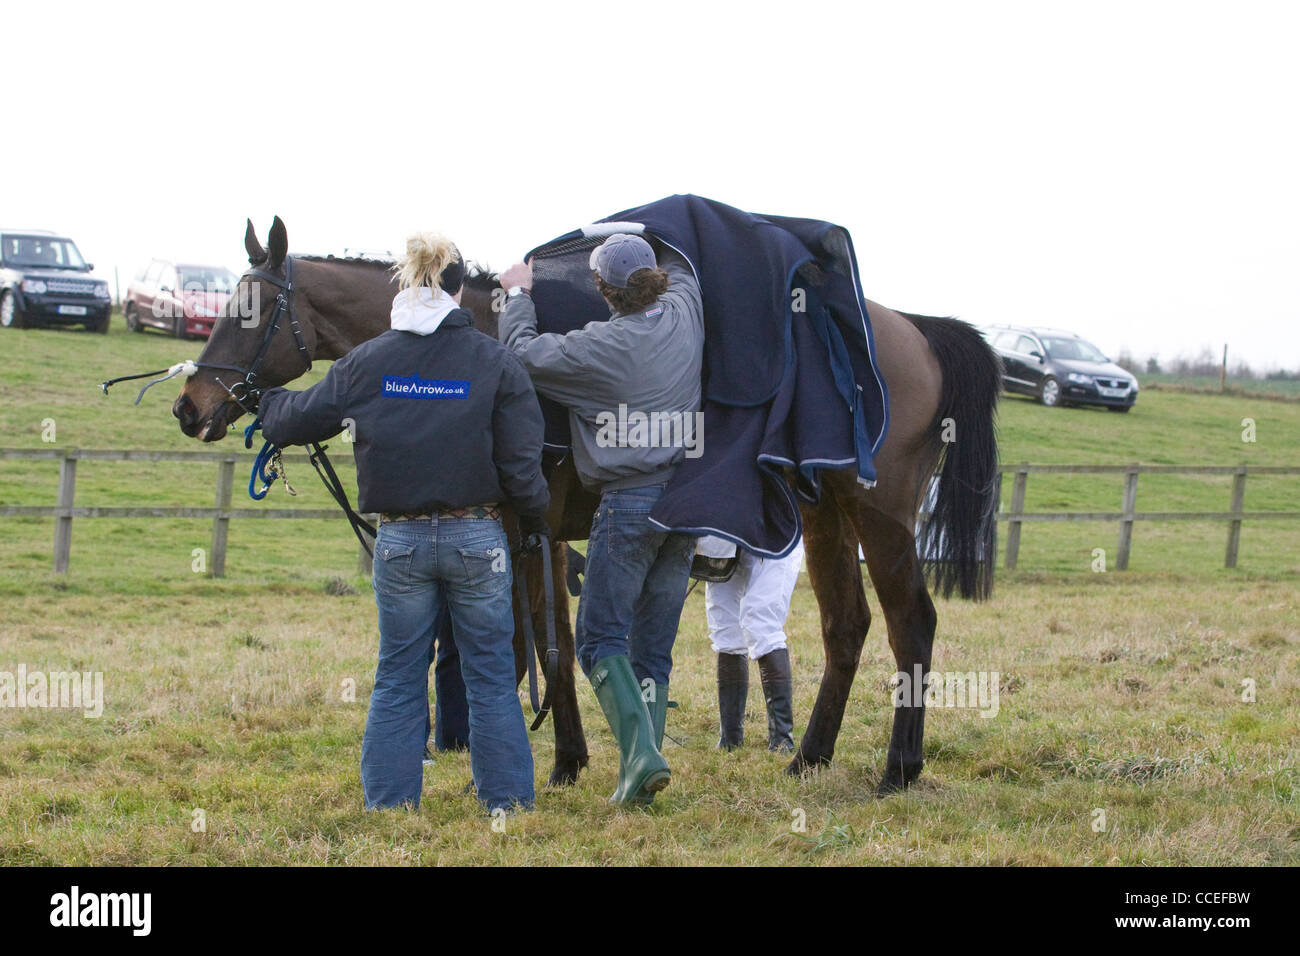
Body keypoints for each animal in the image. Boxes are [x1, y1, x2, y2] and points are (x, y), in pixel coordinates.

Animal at [174, 217, 1000, 794]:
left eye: (251, 309)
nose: (191, 405)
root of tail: (913, 330)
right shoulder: (527, 535)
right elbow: (534, 645)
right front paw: (554, 753)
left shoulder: (531, 529)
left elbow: (546, 646)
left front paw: (554, 757)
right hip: (825, 515)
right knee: (845, 626)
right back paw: (809, 758)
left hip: (881, 516)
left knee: (910, 623)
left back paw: (898, 769)